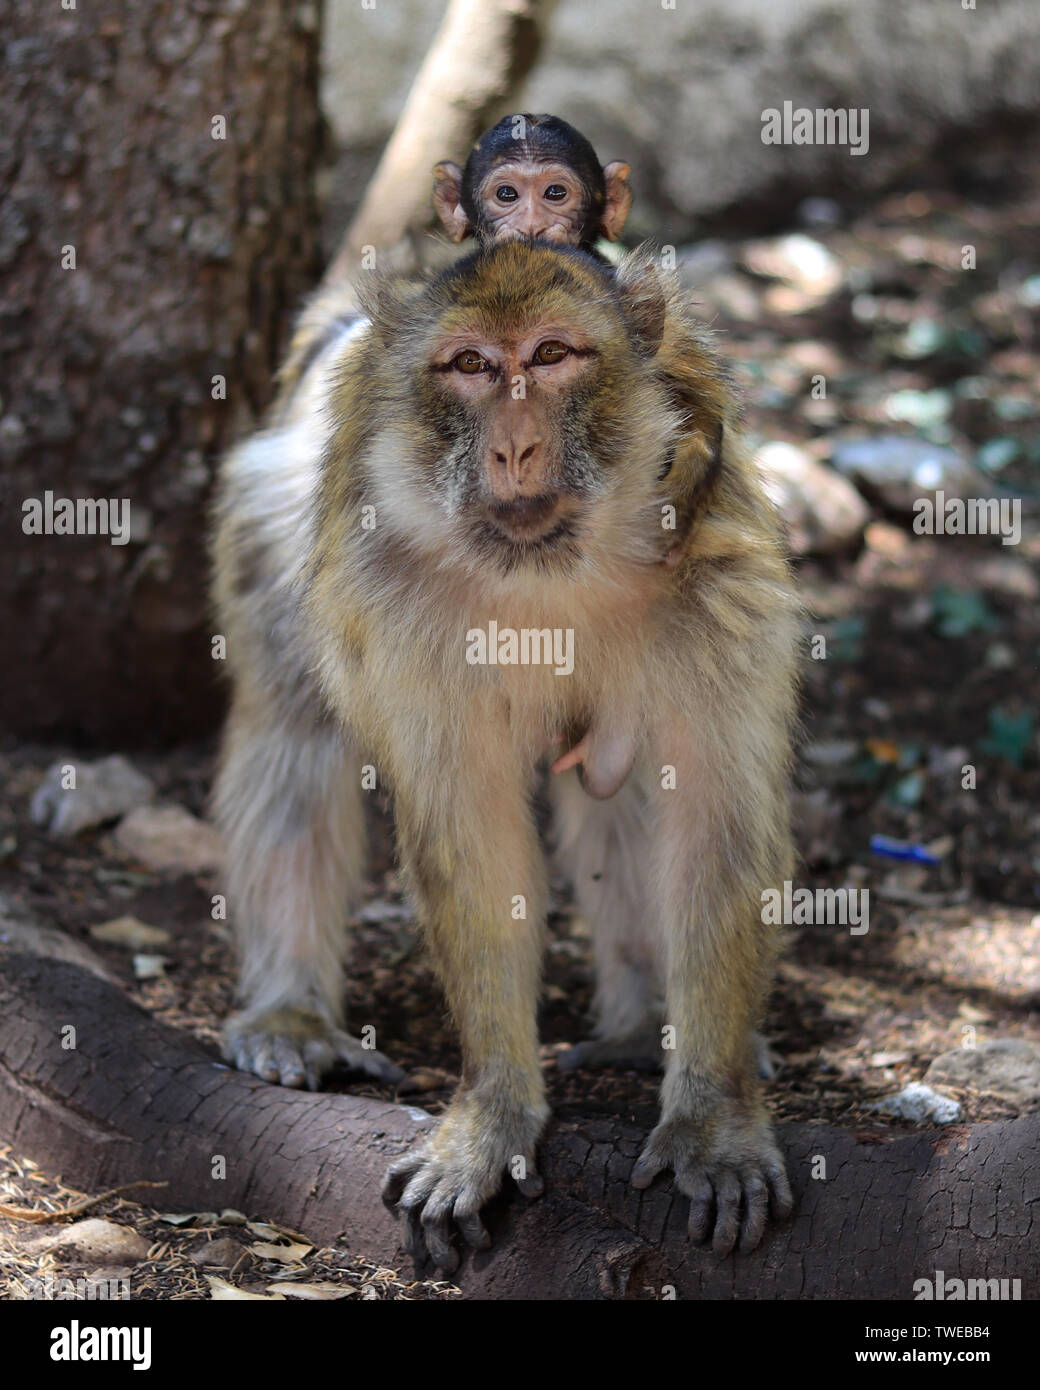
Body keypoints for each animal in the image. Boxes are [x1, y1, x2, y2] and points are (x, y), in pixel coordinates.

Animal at [211, 238, 801, 1266]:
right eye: (472, 367)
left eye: (555, 355)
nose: (515, 446)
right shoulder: (395, 614)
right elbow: (469, 835)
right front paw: (490, 1117)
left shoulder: (720, 584)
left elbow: (715, 821)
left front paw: (714, 1117)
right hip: (278, 518)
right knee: (293, 721)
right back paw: (291, 1012)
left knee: (624, 789)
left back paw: (648, 1023)